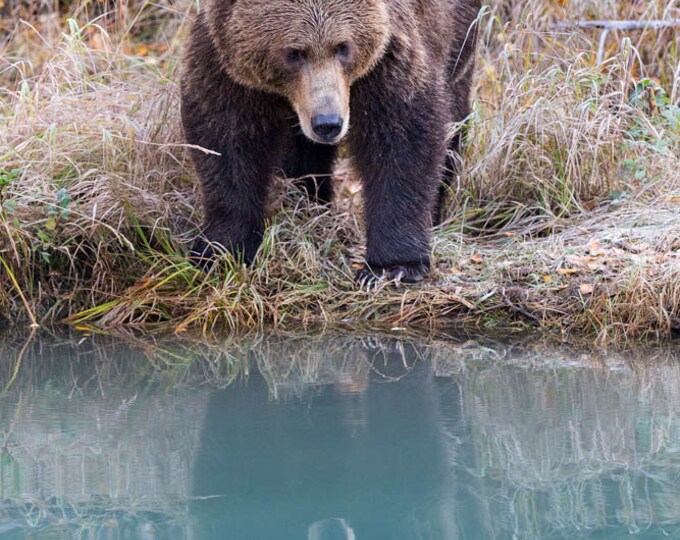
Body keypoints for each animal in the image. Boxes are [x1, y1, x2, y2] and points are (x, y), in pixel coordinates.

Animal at [181, 0, 480, 283]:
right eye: (294, 52)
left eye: (343, 47)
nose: (328, 123)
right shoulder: (227, 68)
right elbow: (226, 142)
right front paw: (220, 250)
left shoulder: (389, 59)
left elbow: (403, 140)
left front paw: (392, 266)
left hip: (459, 36)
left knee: (454, 114)